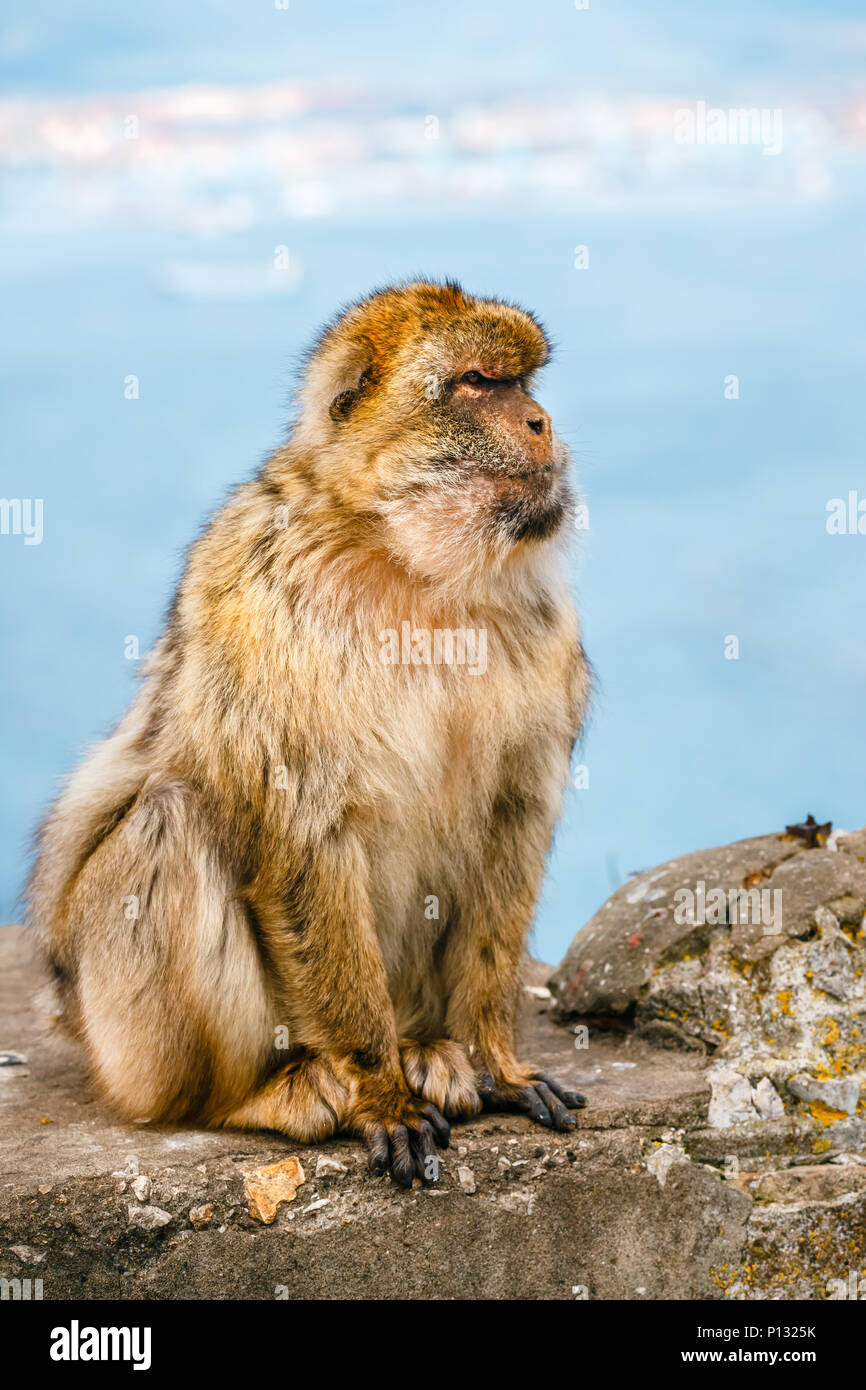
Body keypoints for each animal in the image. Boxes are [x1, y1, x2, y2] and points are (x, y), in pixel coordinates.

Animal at [27, 280, 591, 1188]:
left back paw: (431, 1049)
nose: (541, 421)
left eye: (521, 381)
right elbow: (302, 840)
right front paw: (380, 1094)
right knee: (169, 821)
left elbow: (513, 824)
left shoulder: (547, 629)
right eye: (478, 382)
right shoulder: (258, 598)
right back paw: (256, 1095)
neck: (405, 560)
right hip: (123, 1041)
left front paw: (497, 1061)